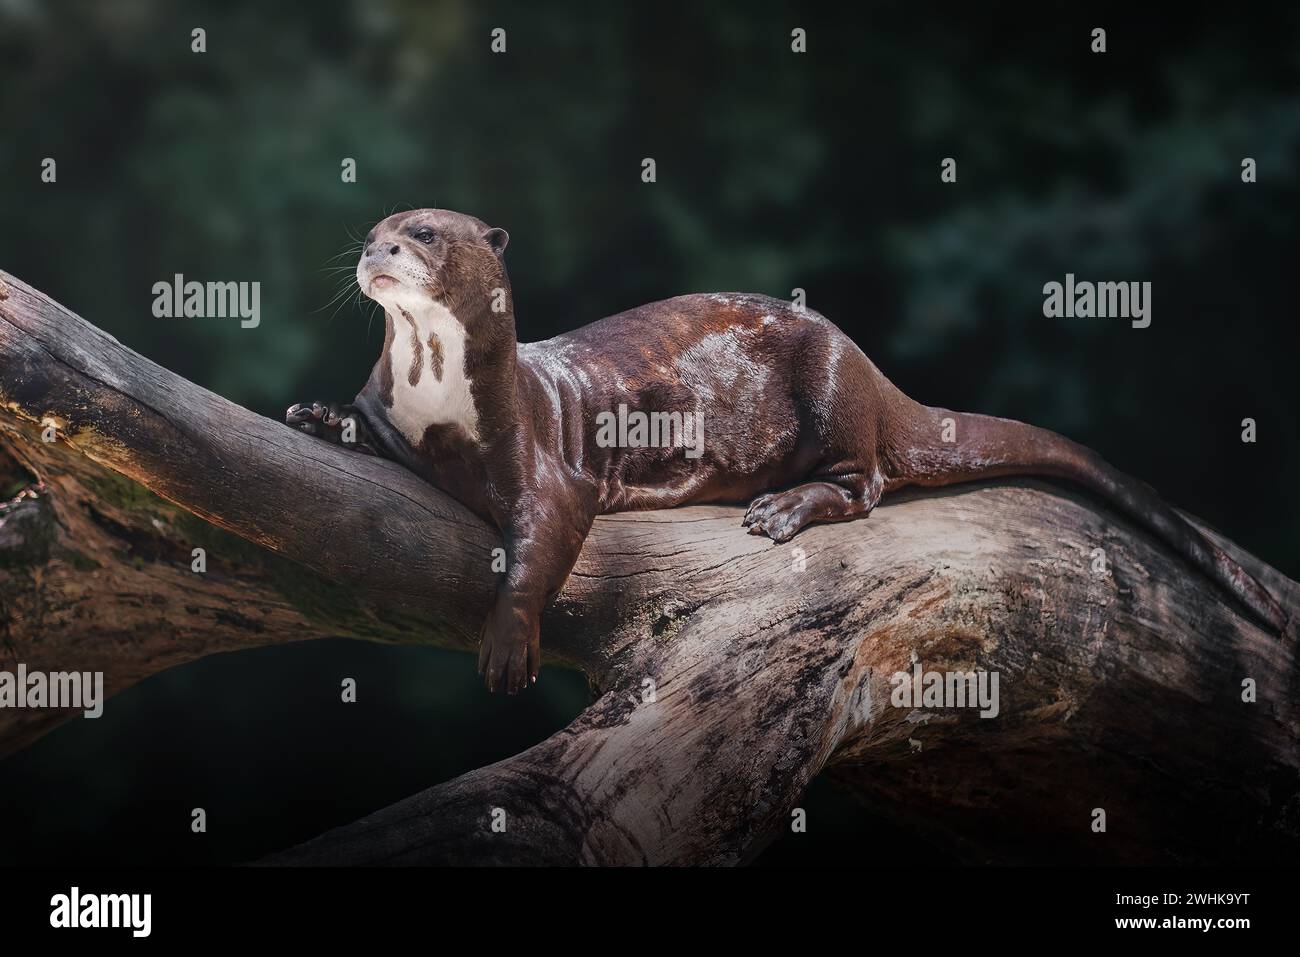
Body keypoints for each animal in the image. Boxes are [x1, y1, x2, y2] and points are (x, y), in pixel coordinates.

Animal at [288, 208, 1286, 693]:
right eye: (374, 228)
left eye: (421, 233)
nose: (374, 249)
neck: (437, 402)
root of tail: (873, 365)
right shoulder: (390, 413)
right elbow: (358, 423)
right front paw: (312, 413)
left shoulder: (540, 459)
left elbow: (538, 543)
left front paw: (507, 643)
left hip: (833, 388)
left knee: (868, 480)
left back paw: (779, 509)